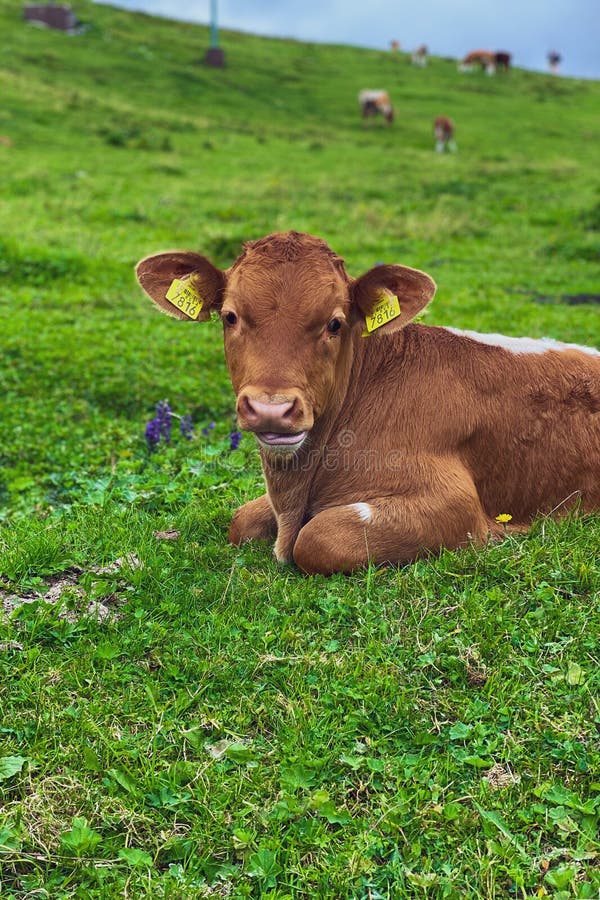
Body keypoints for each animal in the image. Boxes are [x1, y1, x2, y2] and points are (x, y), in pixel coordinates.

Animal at [136, 231, 600, 575]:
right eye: (230, 316)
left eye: (335, 323)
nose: (272, 409)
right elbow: (241, 520)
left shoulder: (456, 504)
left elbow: (318, 537)